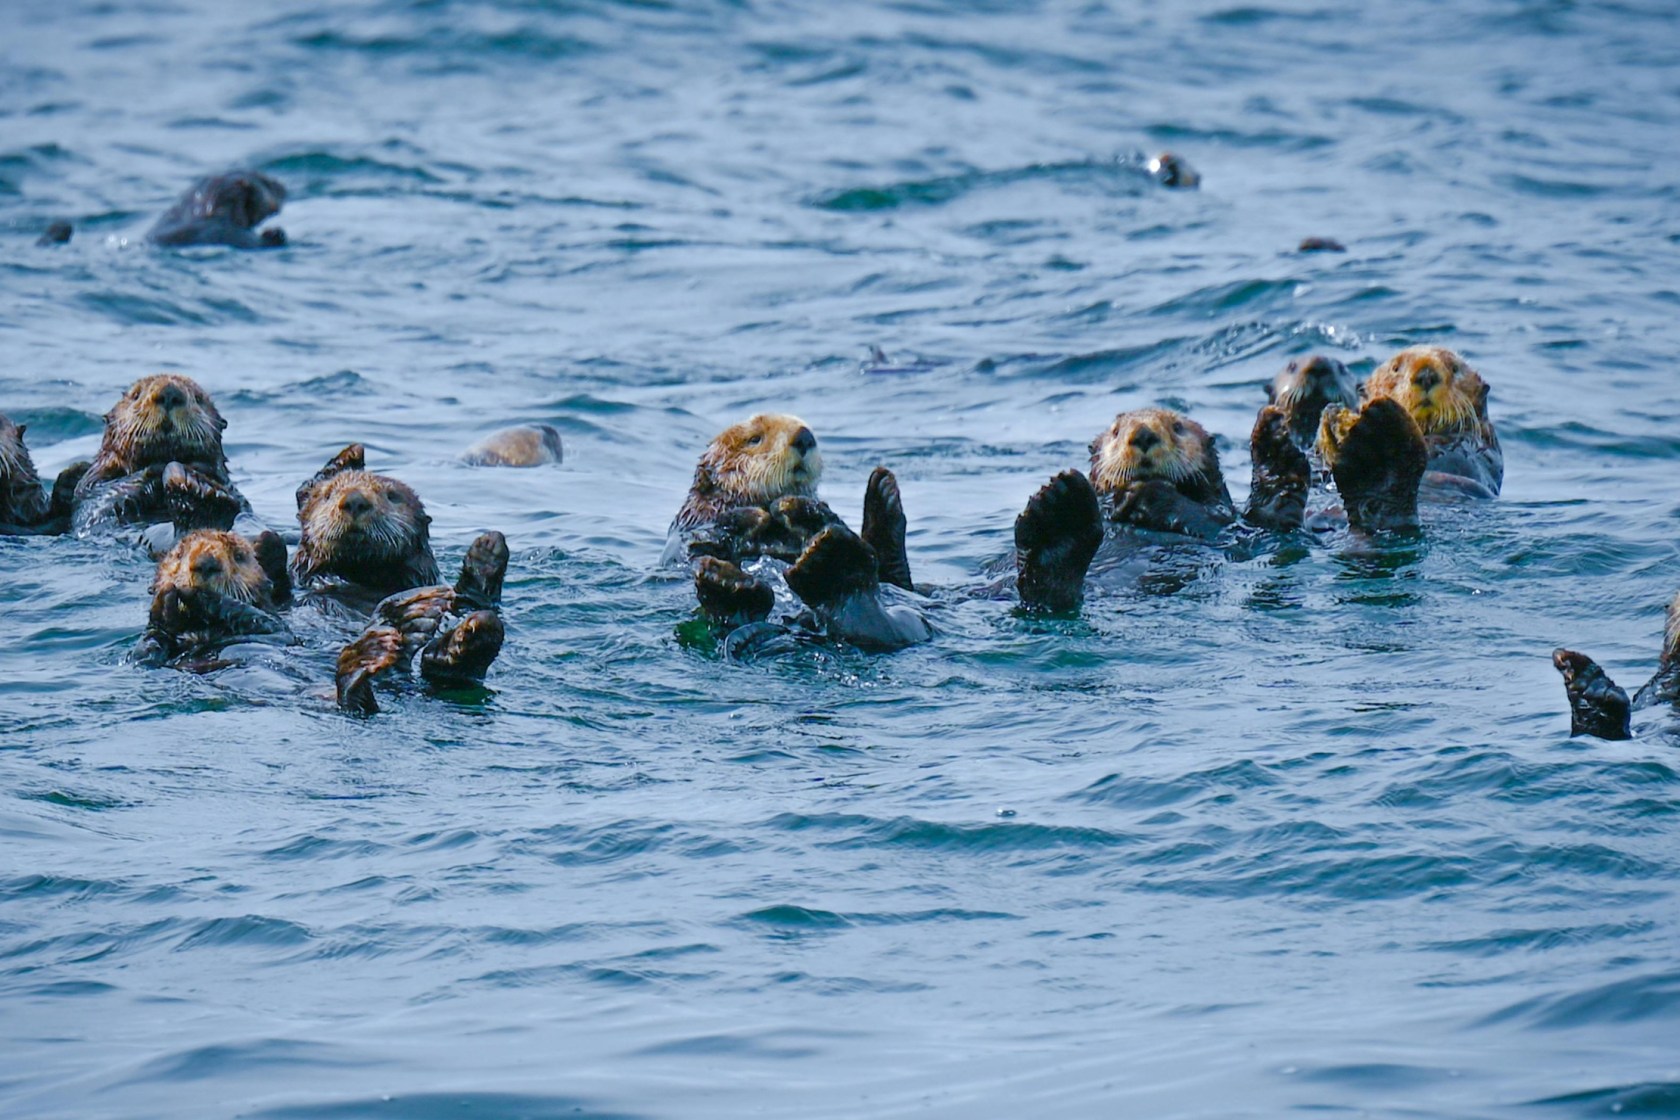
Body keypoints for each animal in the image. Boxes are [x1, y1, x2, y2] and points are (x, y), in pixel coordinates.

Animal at [71, 374, 249, 540]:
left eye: (198, 398)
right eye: (136, 395)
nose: (170, 393)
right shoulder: (92, 484)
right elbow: (100, 500)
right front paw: (160, 469)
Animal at [134, 528, 292, 666]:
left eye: (239, 556)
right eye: (179, 555)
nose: (205, 563)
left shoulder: (279, 629)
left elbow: (262, 619)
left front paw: (195, 594)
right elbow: (143, 654)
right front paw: (164, 603)